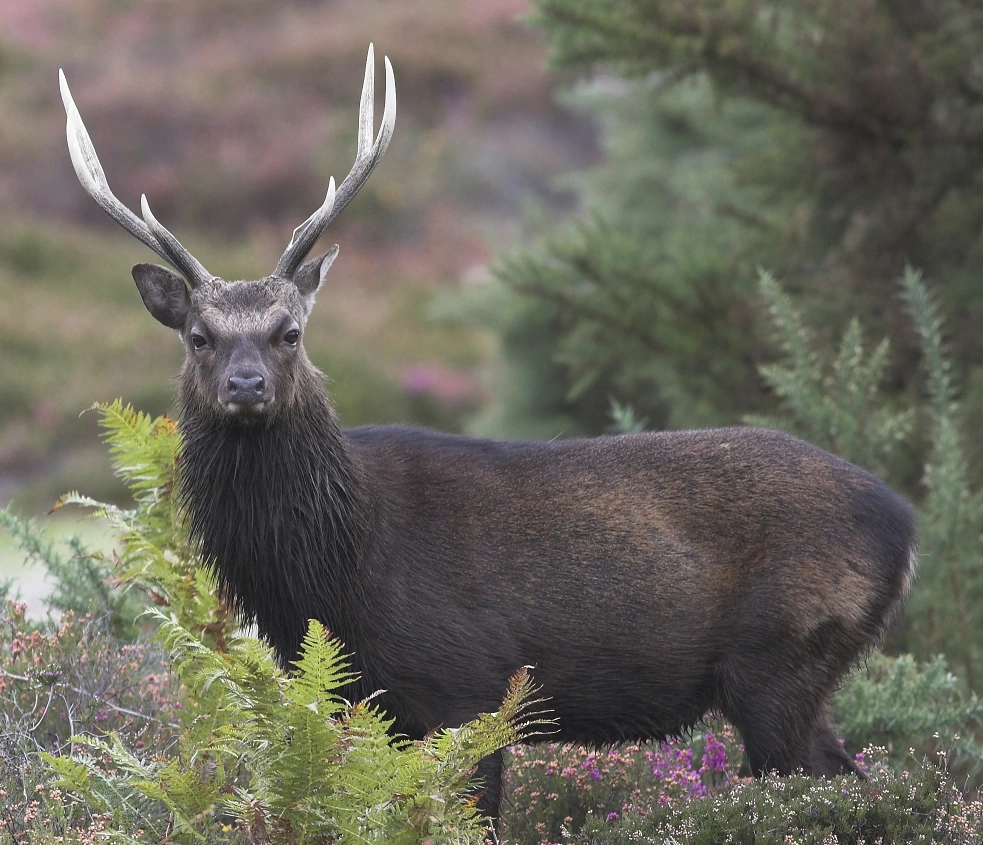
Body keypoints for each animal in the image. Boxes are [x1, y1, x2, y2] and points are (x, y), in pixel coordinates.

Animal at [59, 46, 917, 821]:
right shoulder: (375, 703)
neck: (335, 567)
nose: (245, 385)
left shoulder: (467, 687)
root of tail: (904, 524)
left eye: (289, 332)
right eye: (199, 336)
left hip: (782, 656)